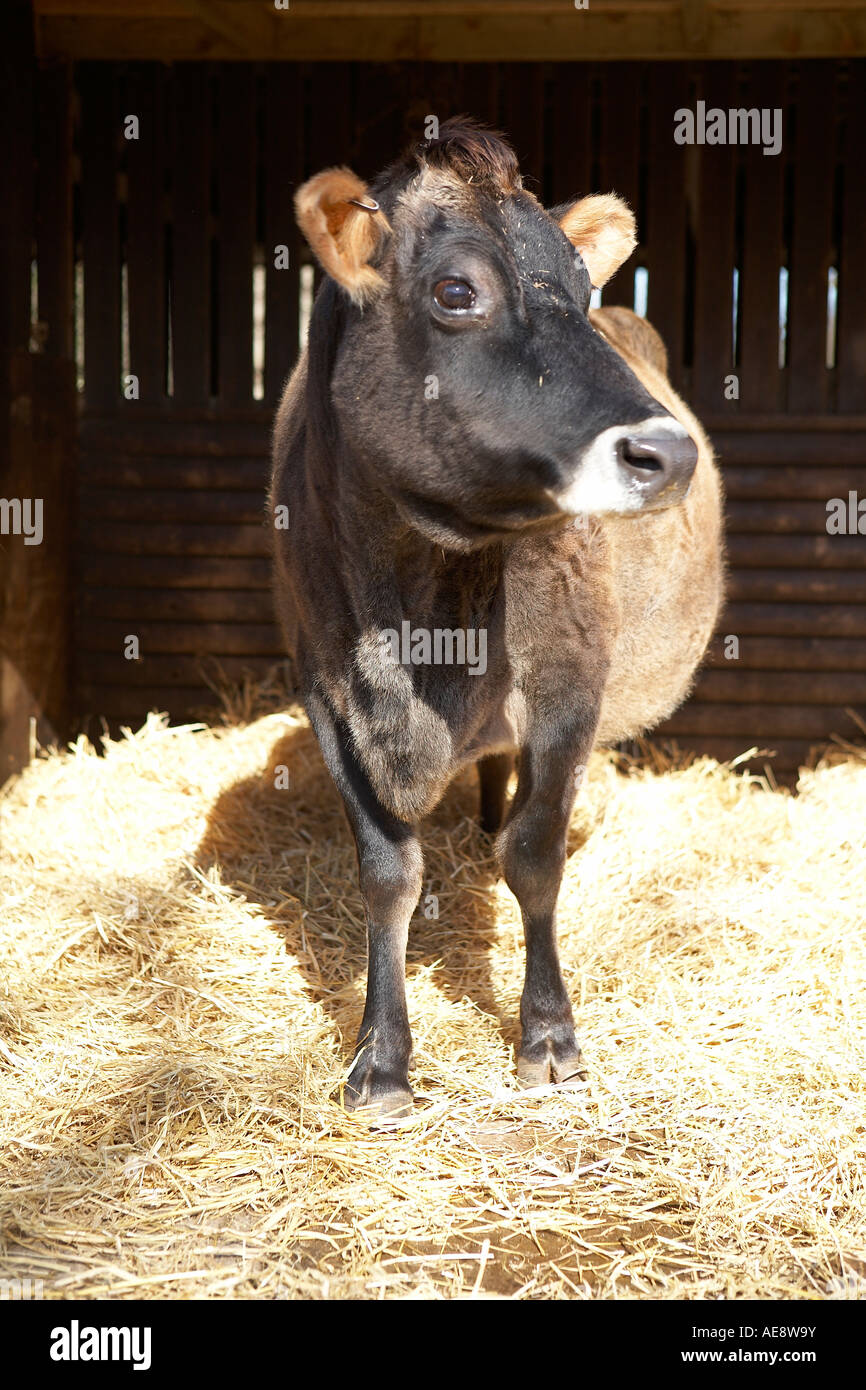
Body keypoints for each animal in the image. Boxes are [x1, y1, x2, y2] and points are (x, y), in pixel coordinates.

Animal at [270, 118, 724, 1116]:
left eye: (586, 292)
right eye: (455, 291)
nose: (668, 453)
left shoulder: (569, 682)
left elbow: (535, 854)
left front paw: (548, 1035)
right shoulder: (322, 683)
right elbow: (388, 873)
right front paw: (382, 1059)